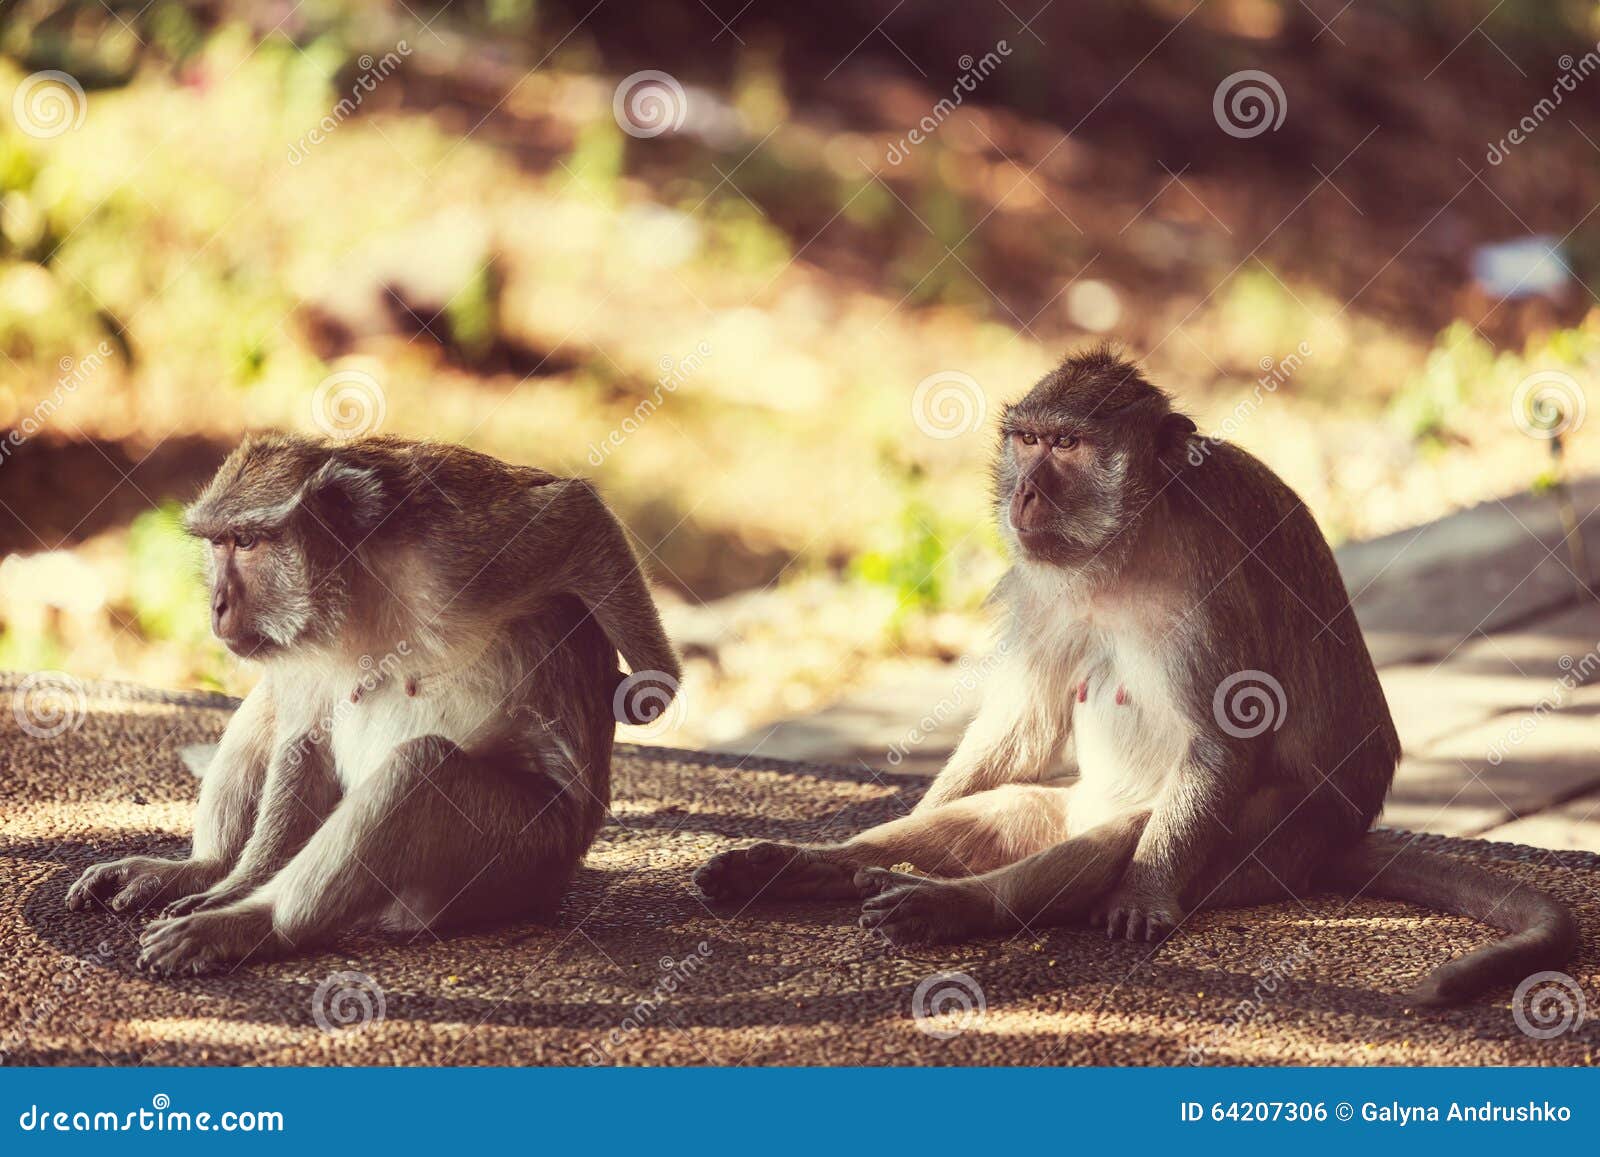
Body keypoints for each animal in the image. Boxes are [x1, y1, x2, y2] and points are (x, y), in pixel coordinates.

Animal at [65, 433, 680, 975]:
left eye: (248, 542)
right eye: (218, 543)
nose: (216, 605)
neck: (358, 589)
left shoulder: (457, 548)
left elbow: (575, 512)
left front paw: (650, 687)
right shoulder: (301, 647)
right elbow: (303, 740)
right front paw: (236, 880)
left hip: (528, 857)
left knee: (420, 769)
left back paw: (260, 924)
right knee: (274, 706)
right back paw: (205, 870)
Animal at [695, 347, 1578, 1007]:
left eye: (1068, 448)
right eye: (1028, 439)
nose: (1025, 490)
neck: (1130, 539)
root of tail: (1343, 834)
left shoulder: (1215, 577)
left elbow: (1225, 735)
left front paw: (1140, 893)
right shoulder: (1046, 582)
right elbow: (1026, 719)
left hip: (1274, 843)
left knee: (1125, 831)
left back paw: (955, 905)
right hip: (1080, 806)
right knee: (1011, 811)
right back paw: (823, 867)